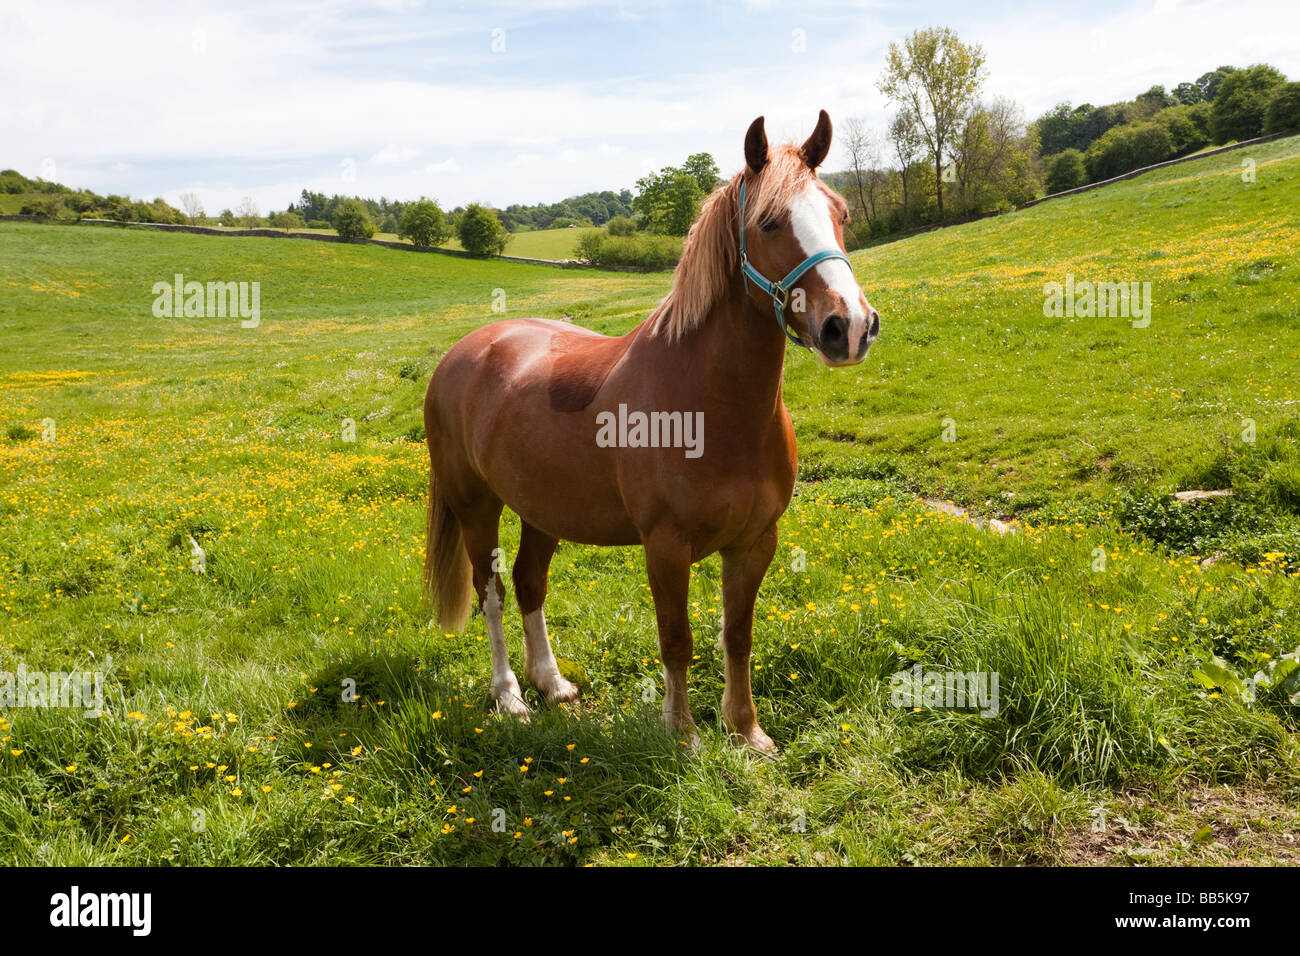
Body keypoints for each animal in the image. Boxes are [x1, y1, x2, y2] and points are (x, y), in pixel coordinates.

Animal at [423, 110, 879, 753]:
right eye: (768, 221)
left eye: (840, 215)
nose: (851, 327)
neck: (715, 407)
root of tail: (461, 354)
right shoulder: (666, 546)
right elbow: (676, 639)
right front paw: (682, 734)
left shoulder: (755, 542)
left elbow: (737, 635)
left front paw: (746, 732)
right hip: (476, 507)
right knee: (491, 595)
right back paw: (510, 696)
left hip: (543, 511)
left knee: (529, 583)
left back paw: (552, 683)